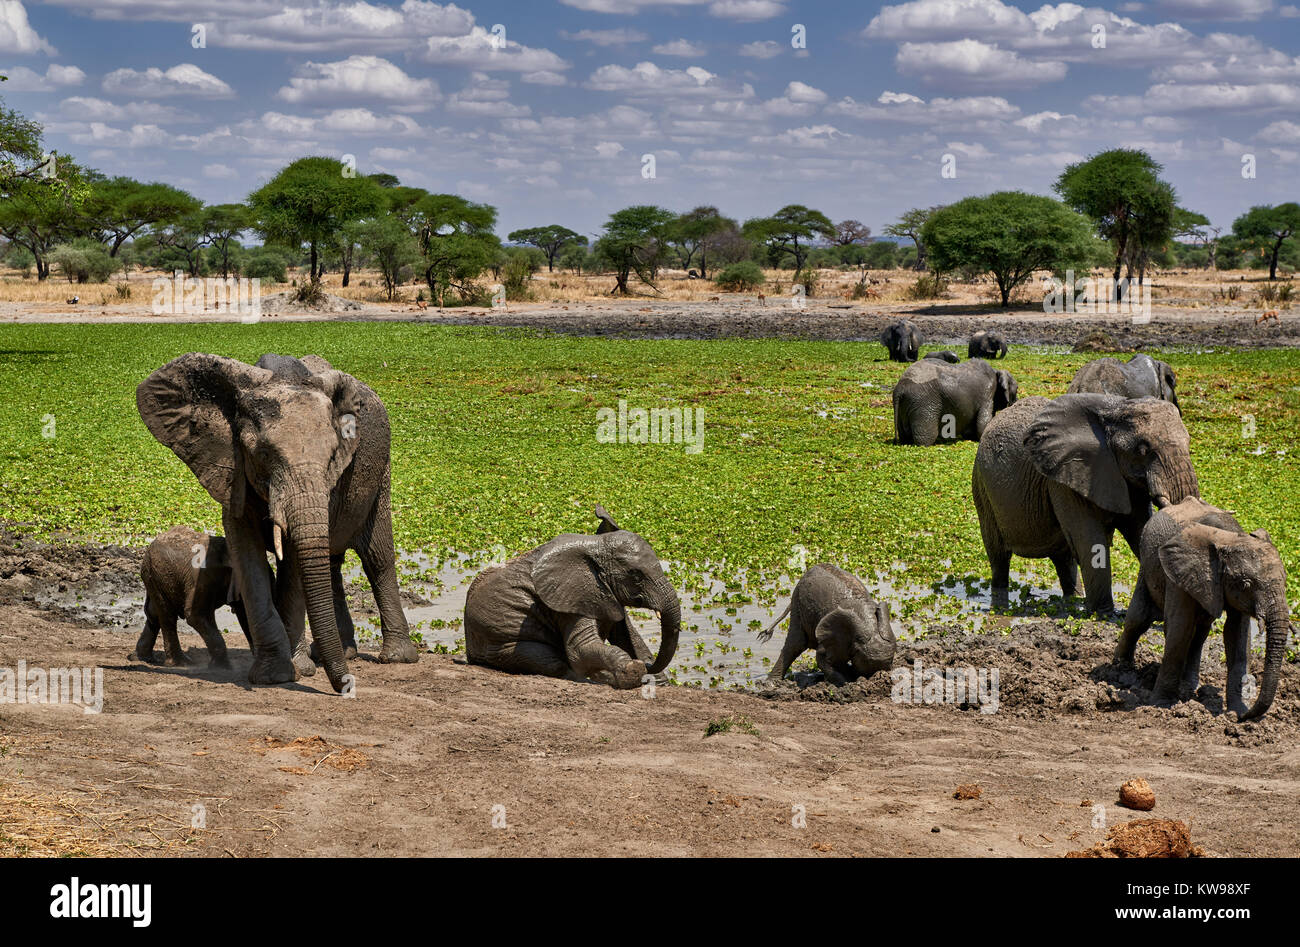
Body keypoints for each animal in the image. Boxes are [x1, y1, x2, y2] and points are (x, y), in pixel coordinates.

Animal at [136, 526, 256, 667]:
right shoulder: (202, 576)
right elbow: (194, 615)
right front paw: (222, 668)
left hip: (154, 576)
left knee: (154, 613)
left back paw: (143, 658)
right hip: (156, 574)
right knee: (167, 614)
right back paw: (180, 664)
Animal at [462, 510, 681, 688]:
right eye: (636, 576)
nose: (648, 665)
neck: (595, 546)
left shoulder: (603, 595)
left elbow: (628, 636)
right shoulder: (568, 599)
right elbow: (579, 649)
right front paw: (633, 671)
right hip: (499, 643)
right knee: (548, 660)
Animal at [758, 563, 896, 684]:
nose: (874, 678)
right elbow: (822, 659)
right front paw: (847, 683)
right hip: (797, 603)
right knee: (796, 644)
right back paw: (771, 683)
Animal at [972, 394, 1200, 616]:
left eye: (1189, 442)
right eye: (1142, 450)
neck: (1116, 409)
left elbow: (1139, 530)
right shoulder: (1065, 476)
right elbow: (1089, 539)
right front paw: (1107, 614)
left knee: (1064, 558)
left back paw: (1073, 599)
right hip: (982, 487)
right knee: (999, 555)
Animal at [1115, 498, 1292, 720]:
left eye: (1285, 581)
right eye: (1246, 584)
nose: (1246, 717)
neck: (1229, 538)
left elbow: (1237, 635)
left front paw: (1236, 711)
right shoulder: (1180, 573)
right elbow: (1179, 628)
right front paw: (1161, 705)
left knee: (1200, 633)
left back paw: (1189, 685)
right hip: (1146, 566)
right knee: (1138, 618)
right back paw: (1120, 671)